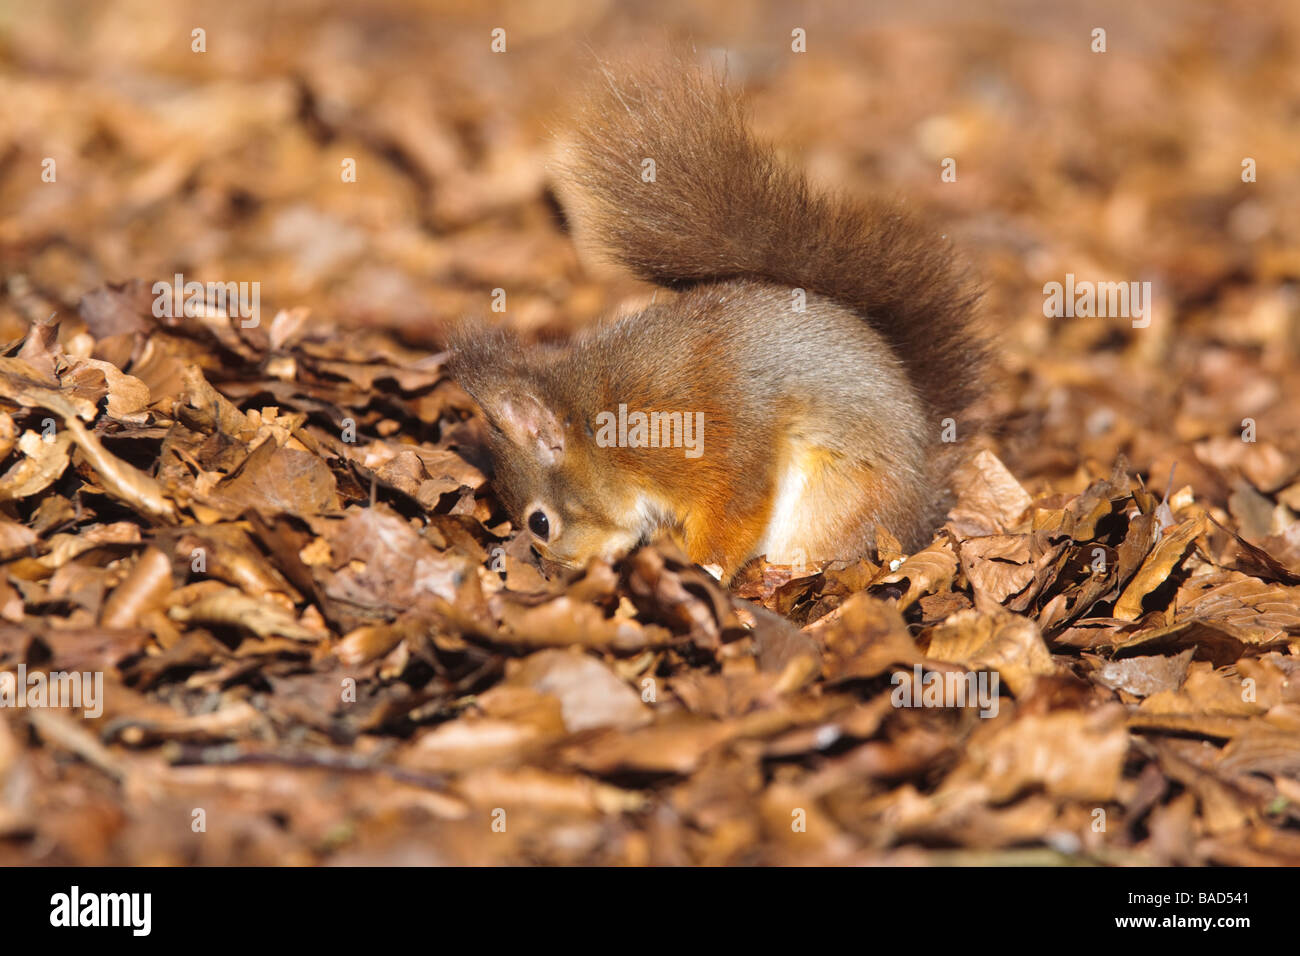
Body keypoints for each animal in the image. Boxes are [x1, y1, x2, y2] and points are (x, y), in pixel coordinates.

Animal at [448, 63, 987, 582]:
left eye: (540, 523)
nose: (556, 575)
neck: (598, 431)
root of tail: (926, 493)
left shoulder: (697, 437)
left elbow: (736, 505)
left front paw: (702, 567)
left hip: (842, 498)